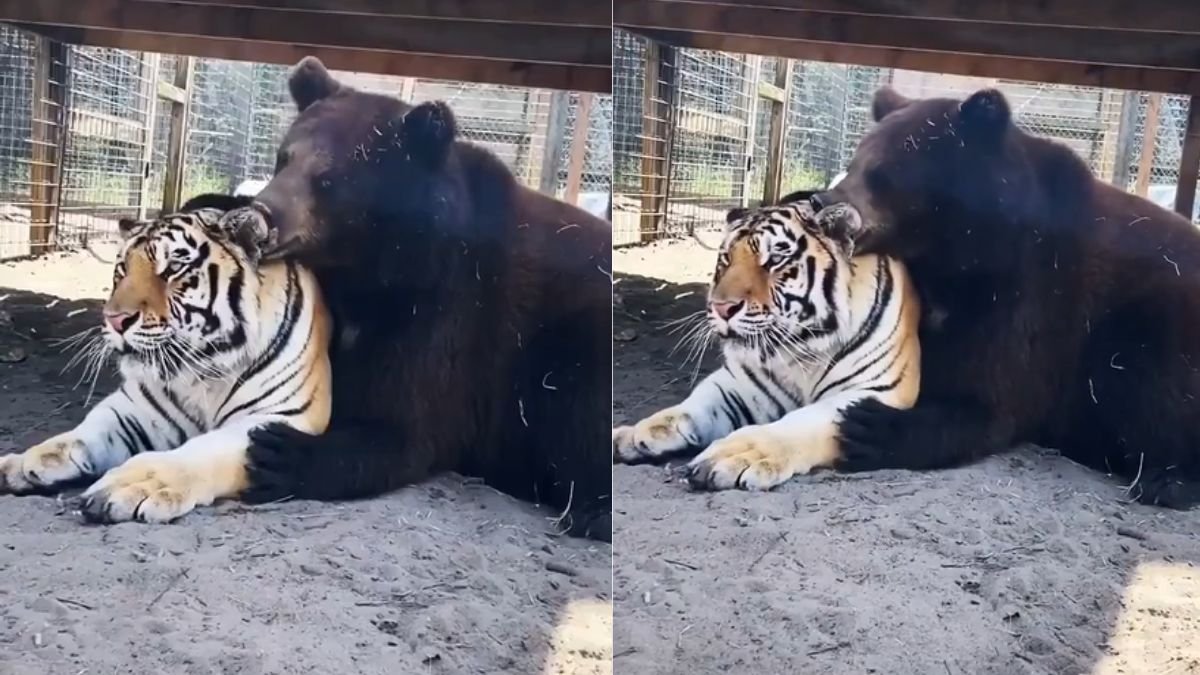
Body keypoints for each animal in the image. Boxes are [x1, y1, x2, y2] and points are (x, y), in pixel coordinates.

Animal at [0, 194, 332, 523]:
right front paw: (22, 462)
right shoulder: (135, 409)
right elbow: (84, 433)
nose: (114, 320)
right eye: (122, 269)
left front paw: (132, 484)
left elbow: (199, 453)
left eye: (172, 268)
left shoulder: (279, 418)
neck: (206, 369)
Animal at [239, 57, 612, 541]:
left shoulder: (450, 313)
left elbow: (408, 425)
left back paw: (591, 510)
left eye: (329, 179)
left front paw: (279, 452)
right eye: (284, 157)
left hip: (571, 343)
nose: (259, 216)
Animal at [613, 200, 921, 491]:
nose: (721, 308)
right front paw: (635, 433)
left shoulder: (875, 393)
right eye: (726, 258)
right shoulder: (741, 383)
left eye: (774, 260)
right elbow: (695, 404)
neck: (804, 348)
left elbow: (799, 424)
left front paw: (734, 455)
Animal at [811, 86, 1200, 508]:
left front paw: (868, 425)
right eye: (854, 161)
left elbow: (995, 396)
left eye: (883, 173)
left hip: (1157, 319)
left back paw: (1167, 479)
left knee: (1152, 382)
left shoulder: (1032, 294)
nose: (821, 201)